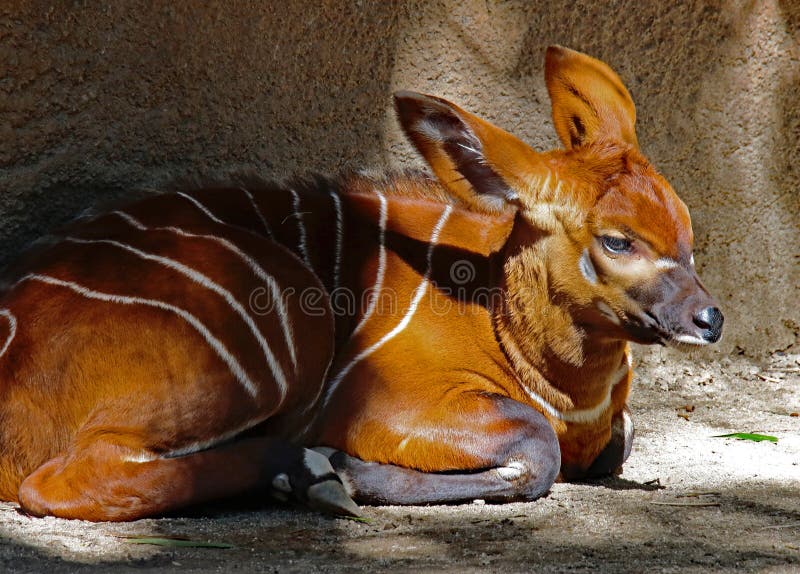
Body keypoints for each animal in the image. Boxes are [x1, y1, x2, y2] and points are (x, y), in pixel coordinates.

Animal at [0, 46, 722, 521]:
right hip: (285, 324)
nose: (709, 319)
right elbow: (535, 450)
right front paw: (350, 470)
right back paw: (308, 473)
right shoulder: (383, 407)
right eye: (618, 240)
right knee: (67, 480)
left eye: (687, 227)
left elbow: (620, 440)